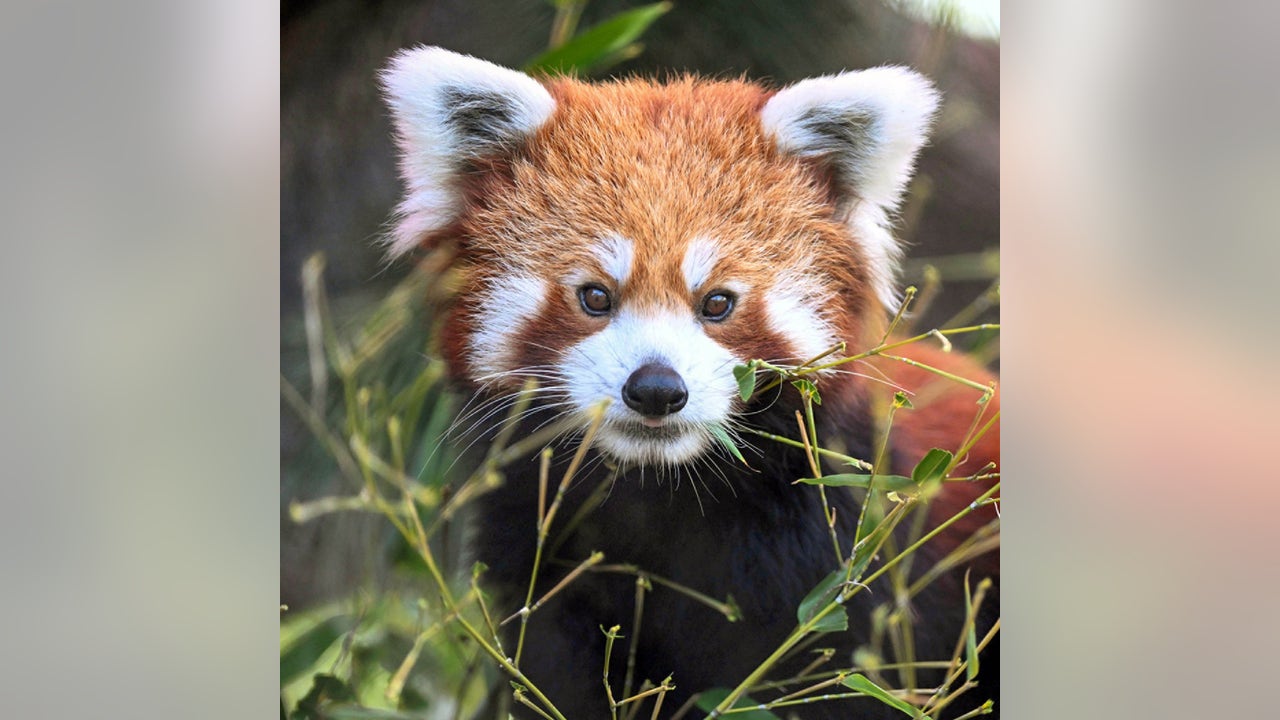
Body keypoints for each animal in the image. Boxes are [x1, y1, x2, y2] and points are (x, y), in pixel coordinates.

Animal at [379, 47, 999, 719]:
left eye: (718, 303)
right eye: (595, 296)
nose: (655, 389)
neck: (660, 494)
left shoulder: (842, 555)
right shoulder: (540, 552)